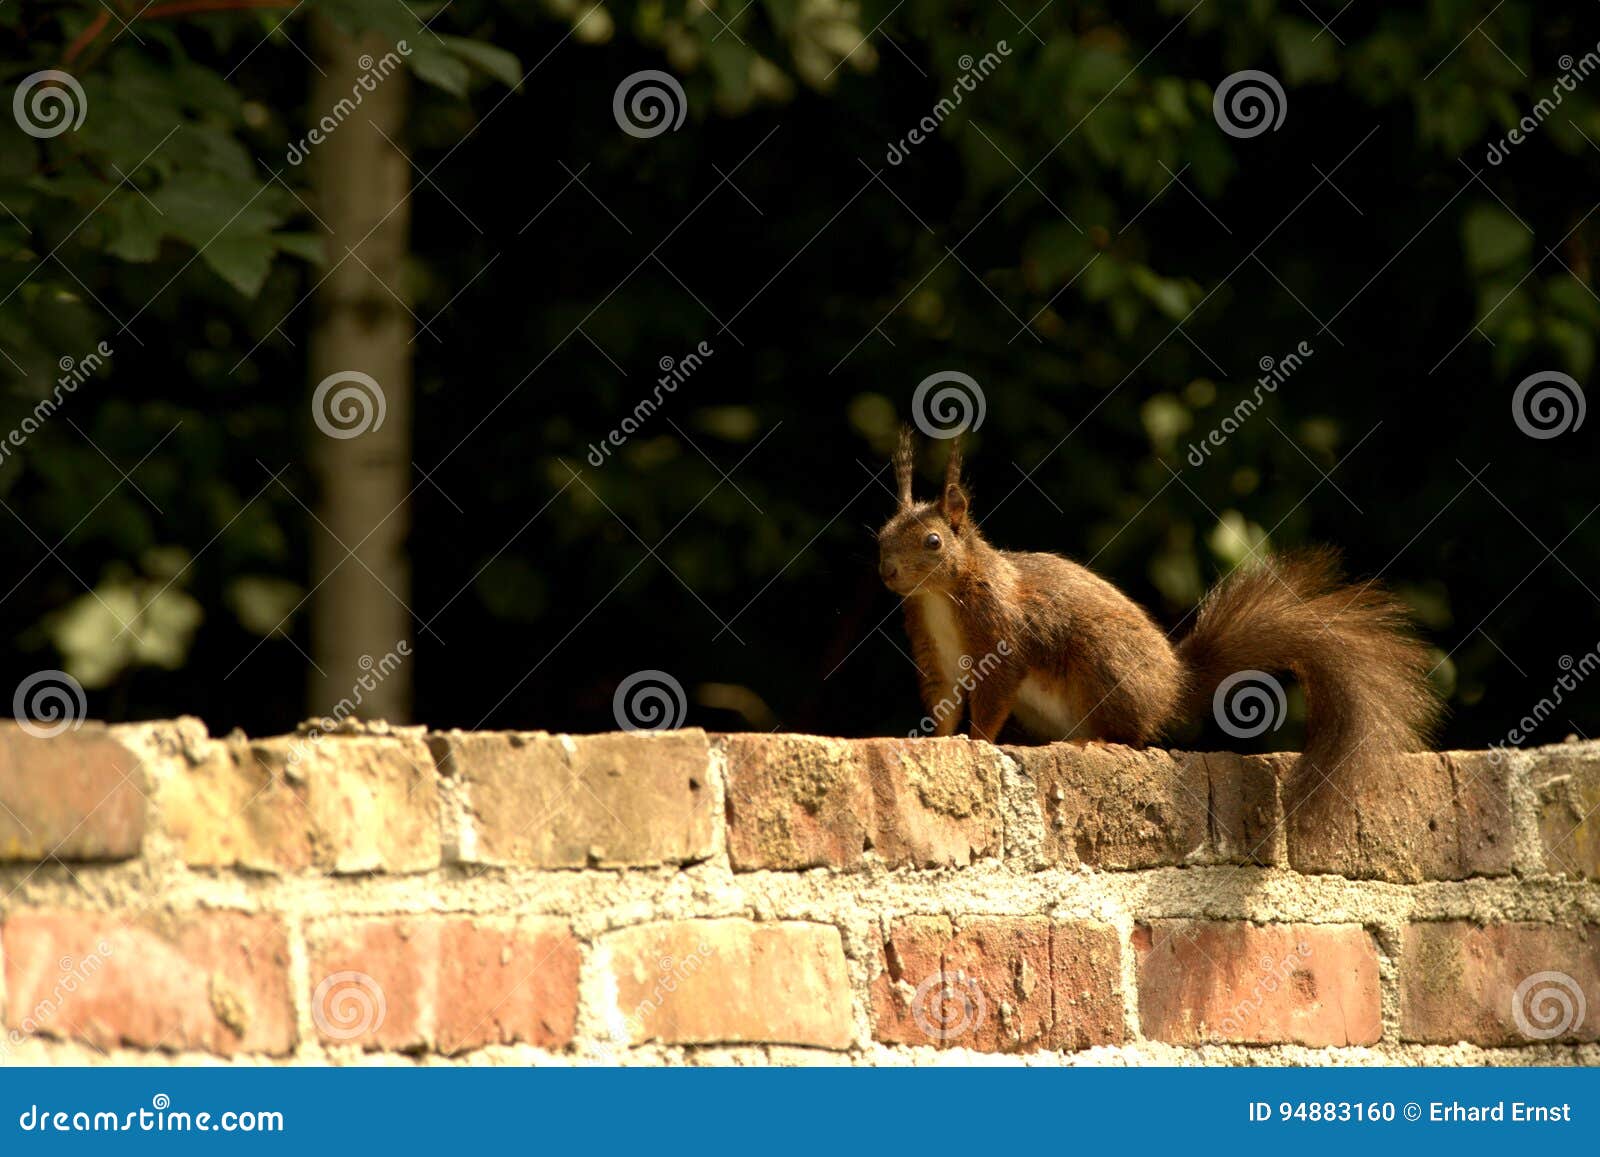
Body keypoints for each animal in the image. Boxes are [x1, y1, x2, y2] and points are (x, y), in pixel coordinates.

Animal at [876, 427, 1441, 813]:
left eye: (933, 542)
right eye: (880, 536)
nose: (888, 572)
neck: (939, 597)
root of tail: (1174, 684)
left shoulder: (1001, 633)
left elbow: (993, 695)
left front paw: (977, 741)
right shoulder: (935, 652)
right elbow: (945, 697)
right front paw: (937, 739)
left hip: (1104, 663)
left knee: (1131, 735)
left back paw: (1094, 742)